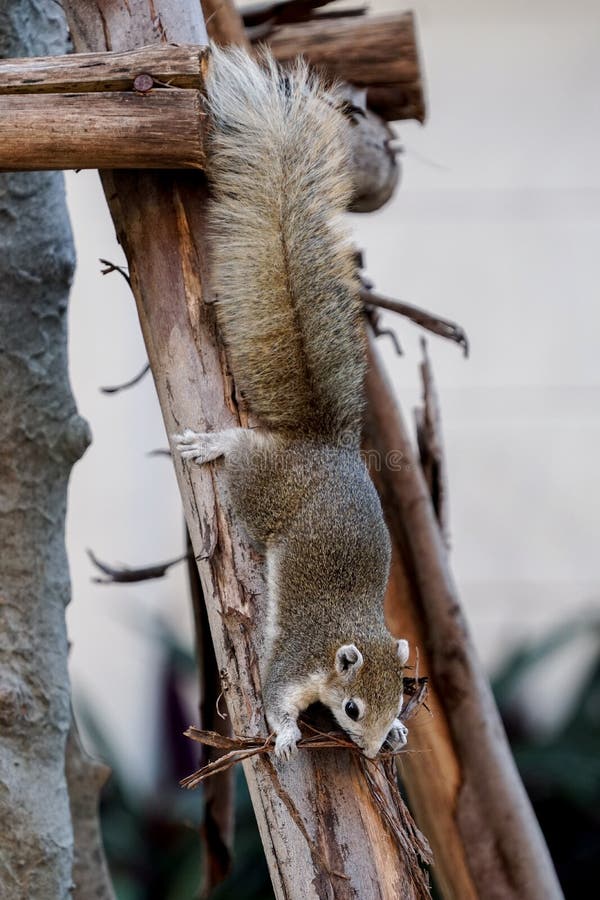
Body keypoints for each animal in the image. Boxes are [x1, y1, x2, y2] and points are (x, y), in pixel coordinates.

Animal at [174, 44, 410, 761]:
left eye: (401, 699)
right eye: (352, 707)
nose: (371, 750)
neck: (351, 628)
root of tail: (321, 442)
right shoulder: (298, 656)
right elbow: (275, 692)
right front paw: (280, 735)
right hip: (261, 493)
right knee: (244, 457)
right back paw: (213, 442)